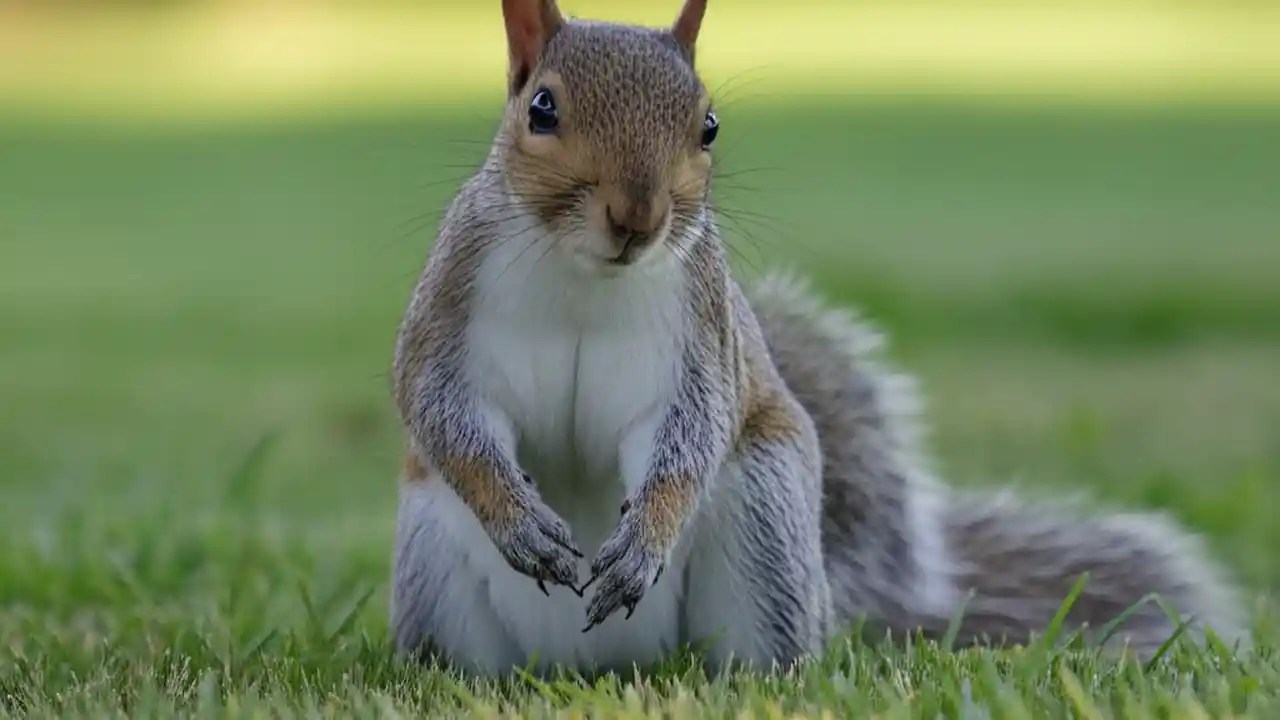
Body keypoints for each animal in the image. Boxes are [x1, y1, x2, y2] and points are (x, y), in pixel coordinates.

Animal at [389, 0, 1244, 675]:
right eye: (541, 110)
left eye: (708, 126)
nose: (637, 217)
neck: (584, 276)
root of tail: (597, 667)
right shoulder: (445, 319)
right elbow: (440, 414)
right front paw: (521, 522)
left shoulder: (704, 341)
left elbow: (691, 439)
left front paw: (644, 545)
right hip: (431, 566)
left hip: (767, 522)